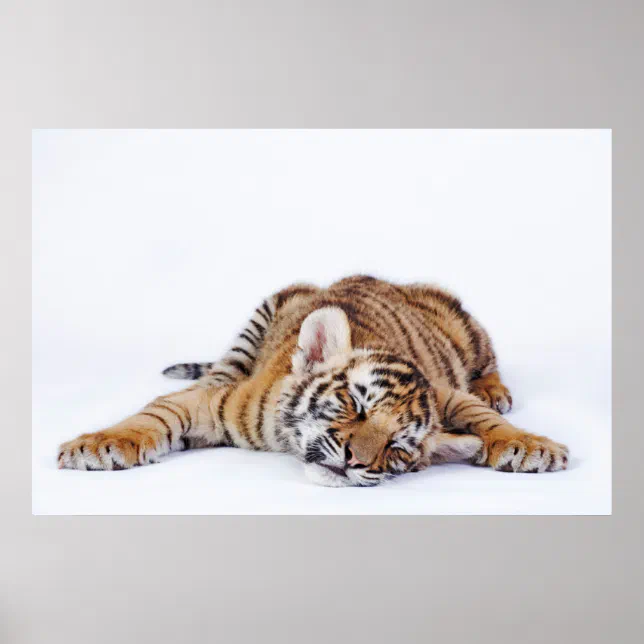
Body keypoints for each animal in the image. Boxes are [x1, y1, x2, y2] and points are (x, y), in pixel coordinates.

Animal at [58, 275, 569, 487]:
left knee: (487, 365)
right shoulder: (214, 405)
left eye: (398, 446)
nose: (352, 461)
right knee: (218, 371)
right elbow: (156, 413)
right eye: (355, 405)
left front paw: (531, 445)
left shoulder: (446, 393)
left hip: (466, 332)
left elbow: (479, 415)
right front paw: (100, 445)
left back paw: (495, 390)